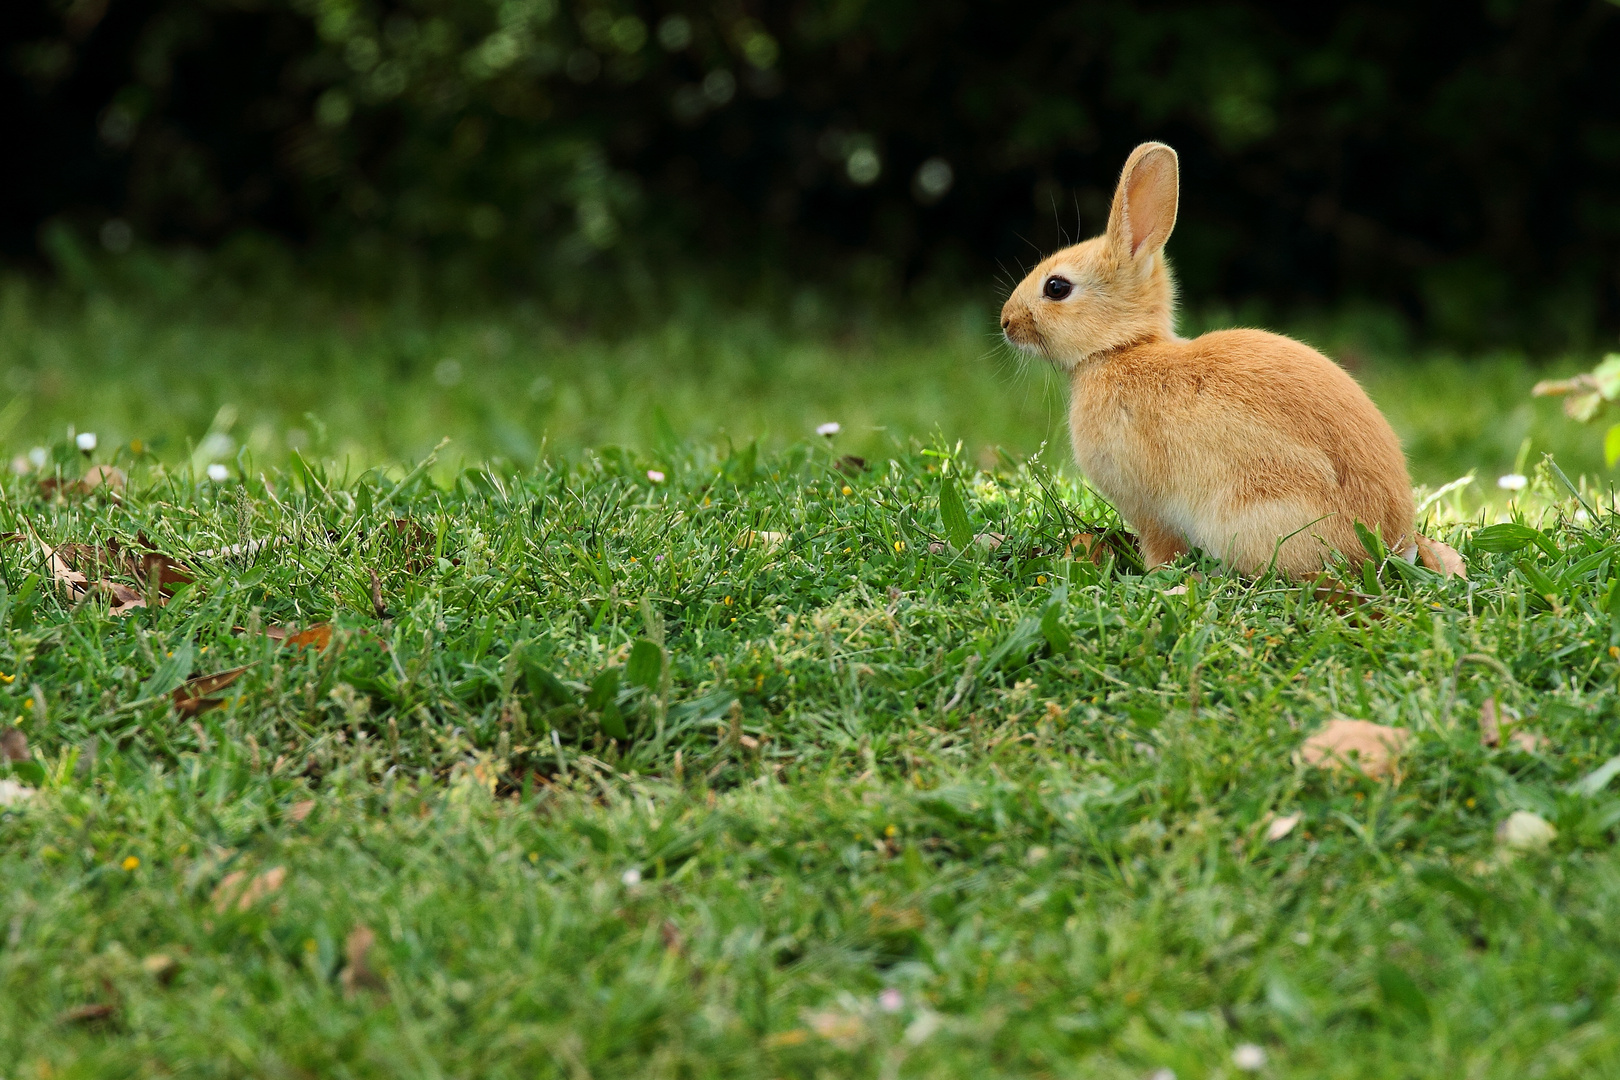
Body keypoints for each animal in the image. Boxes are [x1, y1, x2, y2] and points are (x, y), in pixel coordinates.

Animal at [1000, 141, 1415, 577]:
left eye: (1056, 287)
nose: (1006, 321)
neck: (1121, 348)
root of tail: (1390, 543)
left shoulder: (1148, 507)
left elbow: (1159, 545)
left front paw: (1154, 574)